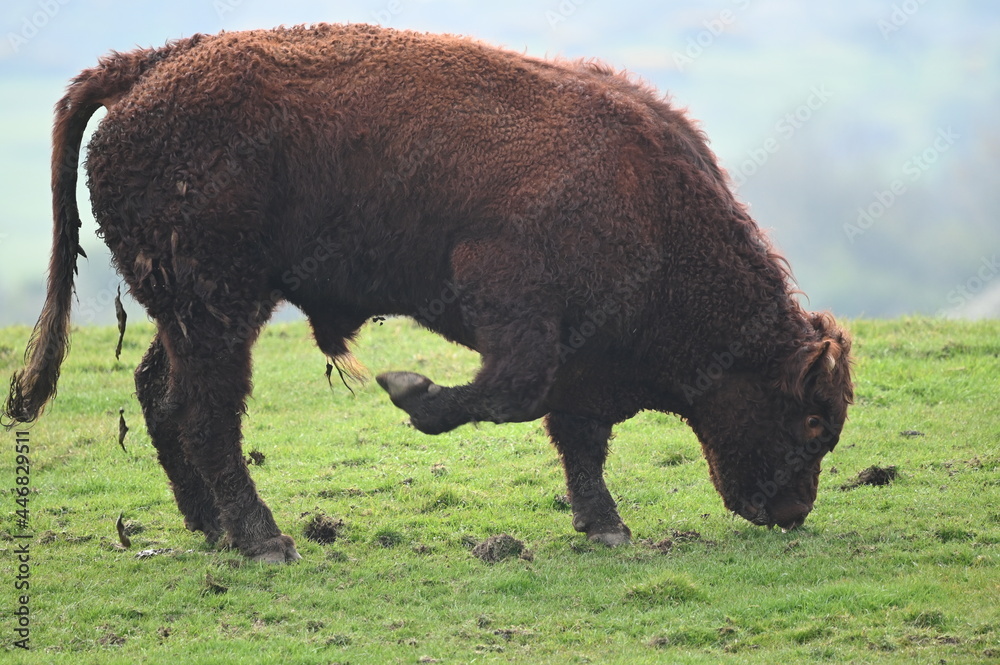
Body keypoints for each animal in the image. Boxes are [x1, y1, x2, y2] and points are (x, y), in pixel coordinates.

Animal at [4, 24, 853, 562]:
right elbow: (513, 394)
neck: (648, 199)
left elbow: (578, 436)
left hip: (189, 313)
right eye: (812, 419)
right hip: (220, 307)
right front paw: (408, 389)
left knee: (160, 392)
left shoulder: (582, 358)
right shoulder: (515, 306)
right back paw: (263, 539)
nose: (792, 512)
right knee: (203, 410)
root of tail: (148, 65)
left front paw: (606, 526)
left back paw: (213, 528)